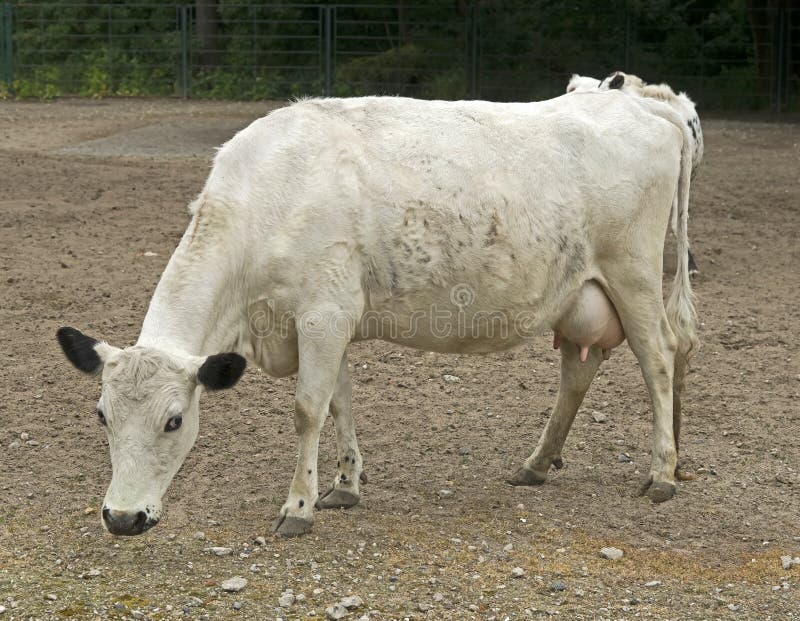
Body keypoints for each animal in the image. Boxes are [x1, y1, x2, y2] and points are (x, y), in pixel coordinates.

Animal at [57, 92, 698, 538]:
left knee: (659, 360)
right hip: (579, 295)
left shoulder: (323, 313)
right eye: (101, 415)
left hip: (634, 274)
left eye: (173, 421)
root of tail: (642, 102)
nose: (122, 518)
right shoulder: (329, 321)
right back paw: (536, 464)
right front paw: (344, 485)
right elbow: (340, 401)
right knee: (578, 372)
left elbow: (307, 411)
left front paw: (298, 506)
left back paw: (663, 473)